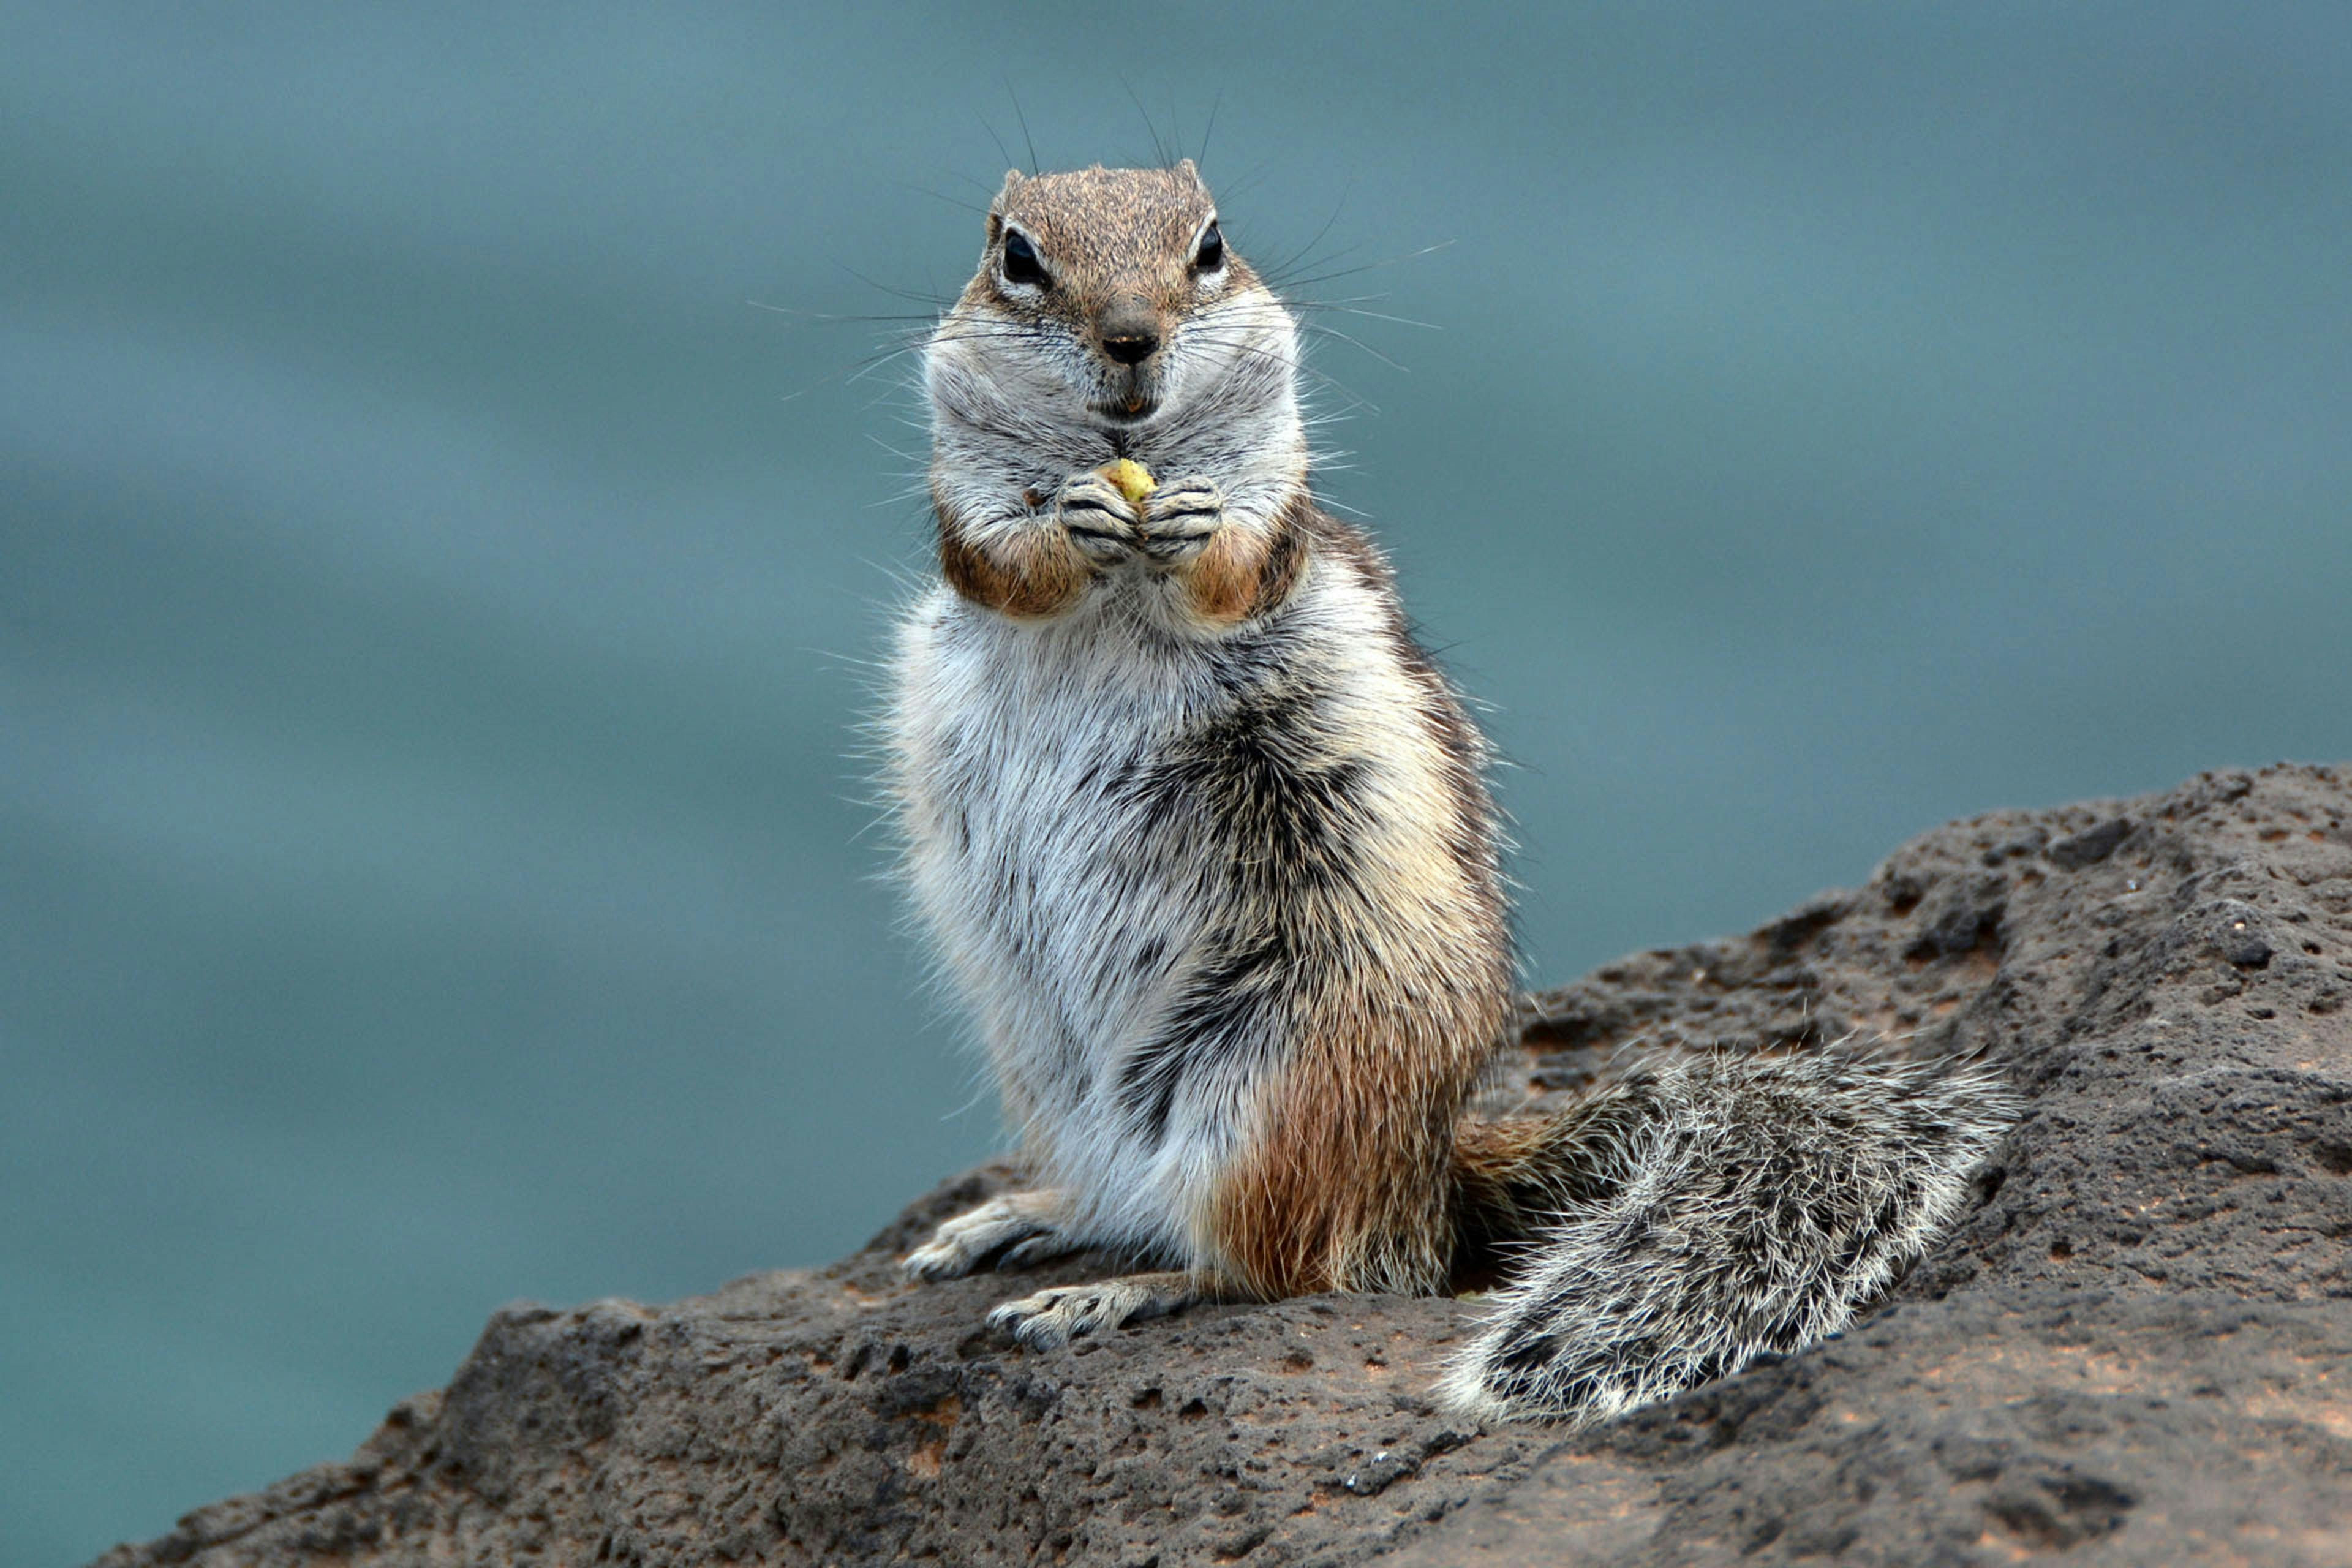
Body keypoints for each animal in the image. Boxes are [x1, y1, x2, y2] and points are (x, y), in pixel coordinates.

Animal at [884, 160, 2016, 1425]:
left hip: (1268, 1088)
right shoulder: (963, 500)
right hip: (1051, 1070)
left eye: (1210, 248)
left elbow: (1238, 566)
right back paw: (1020, 1221)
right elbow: (1001, 561)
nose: (1131, 338)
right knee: (1139, 1205)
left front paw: (1192, 527)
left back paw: (1115, 1292)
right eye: (1017, 256)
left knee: (1276, 1268)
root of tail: (1426, 1183)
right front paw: (1068, 521)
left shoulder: (1279, 509)